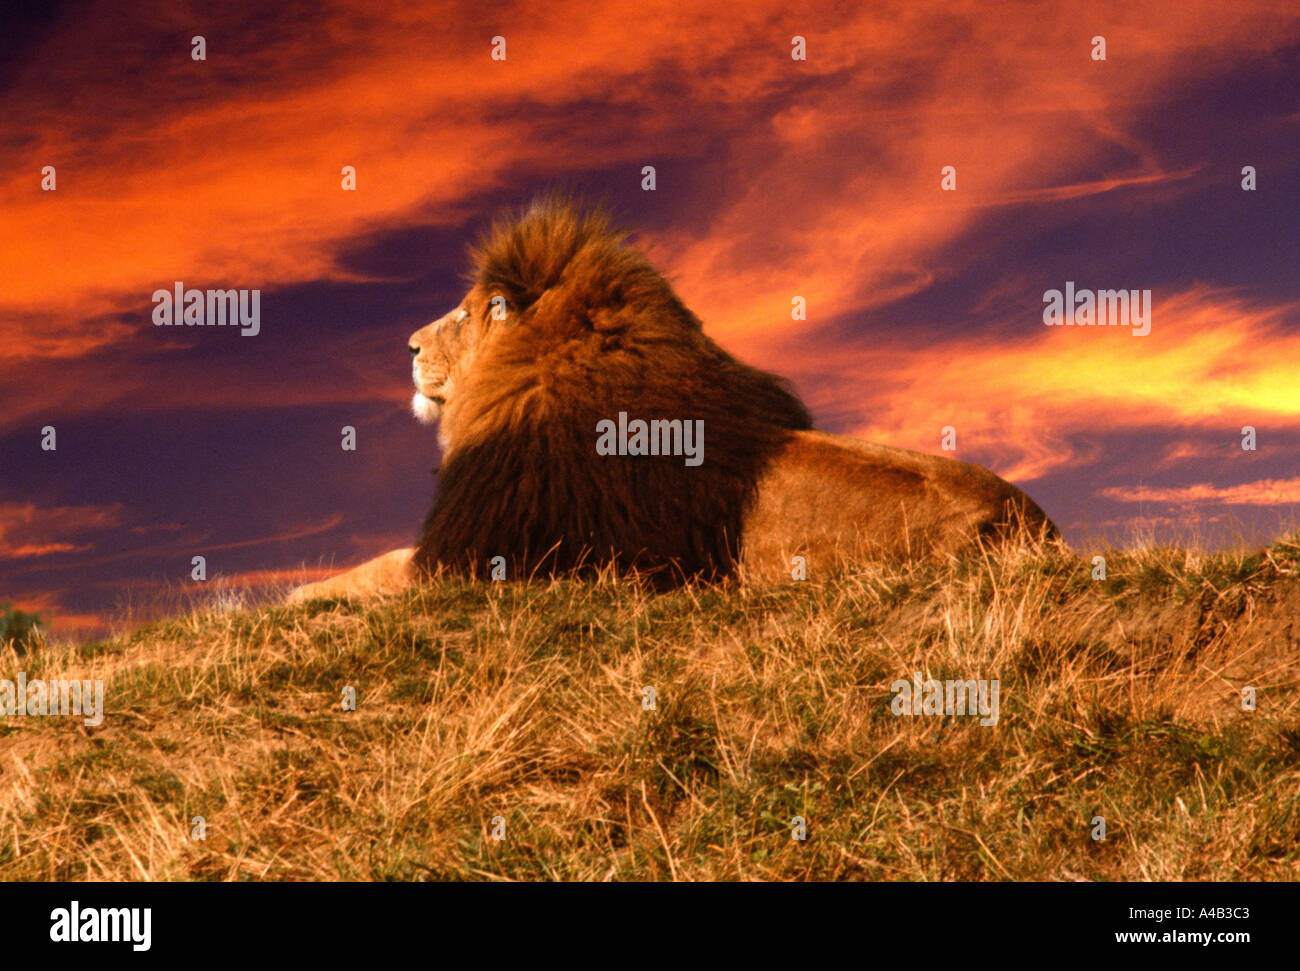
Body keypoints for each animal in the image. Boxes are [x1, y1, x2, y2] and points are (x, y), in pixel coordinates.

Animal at [289, 199, 1056, 601]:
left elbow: (381, 566)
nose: (410, 347)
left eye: (470, 313)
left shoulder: (493, 557)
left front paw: (297, 595)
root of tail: (1033, 524)